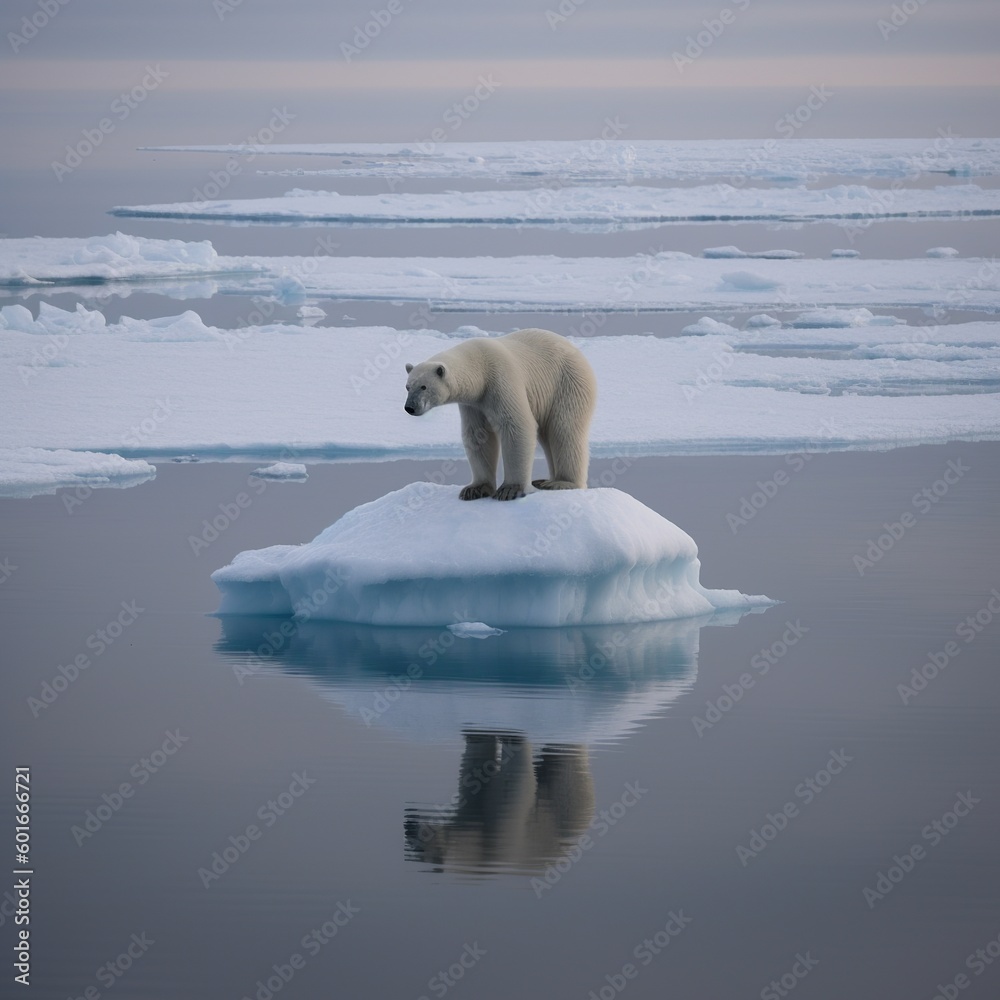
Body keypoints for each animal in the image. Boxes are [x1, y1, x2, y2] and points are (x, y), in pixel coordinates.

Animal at [404, 328, 597, 501]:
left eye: (423, 387)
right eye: (407, 387)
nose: (410, 407)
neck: (479, 367)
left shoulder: (501, 380)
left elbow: (517, 425)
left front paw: (509, 490)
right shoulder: (473, 404)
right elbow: (477, 435)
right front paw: (474, 489)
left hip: (567, 383)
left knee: (564, 429)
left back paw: (561, 482)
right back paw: (545, 480)